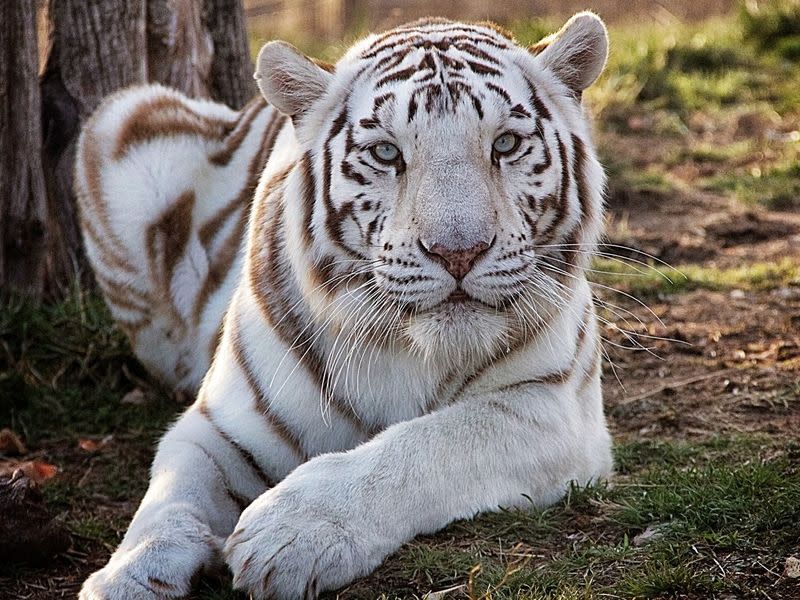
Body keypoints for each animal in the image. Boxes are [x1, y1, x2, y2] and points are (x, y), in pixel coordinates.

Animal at [76, 12, 612, 599]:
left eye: (507, 144)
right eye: (386, 153)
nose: (458, 251)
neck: (409, 351)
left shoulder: (553, 408)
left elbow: (425, 445)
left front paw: (290, 533)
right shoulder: (216, 429)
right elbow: (166, 502)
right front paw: (125, 576)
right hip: (122, 118)